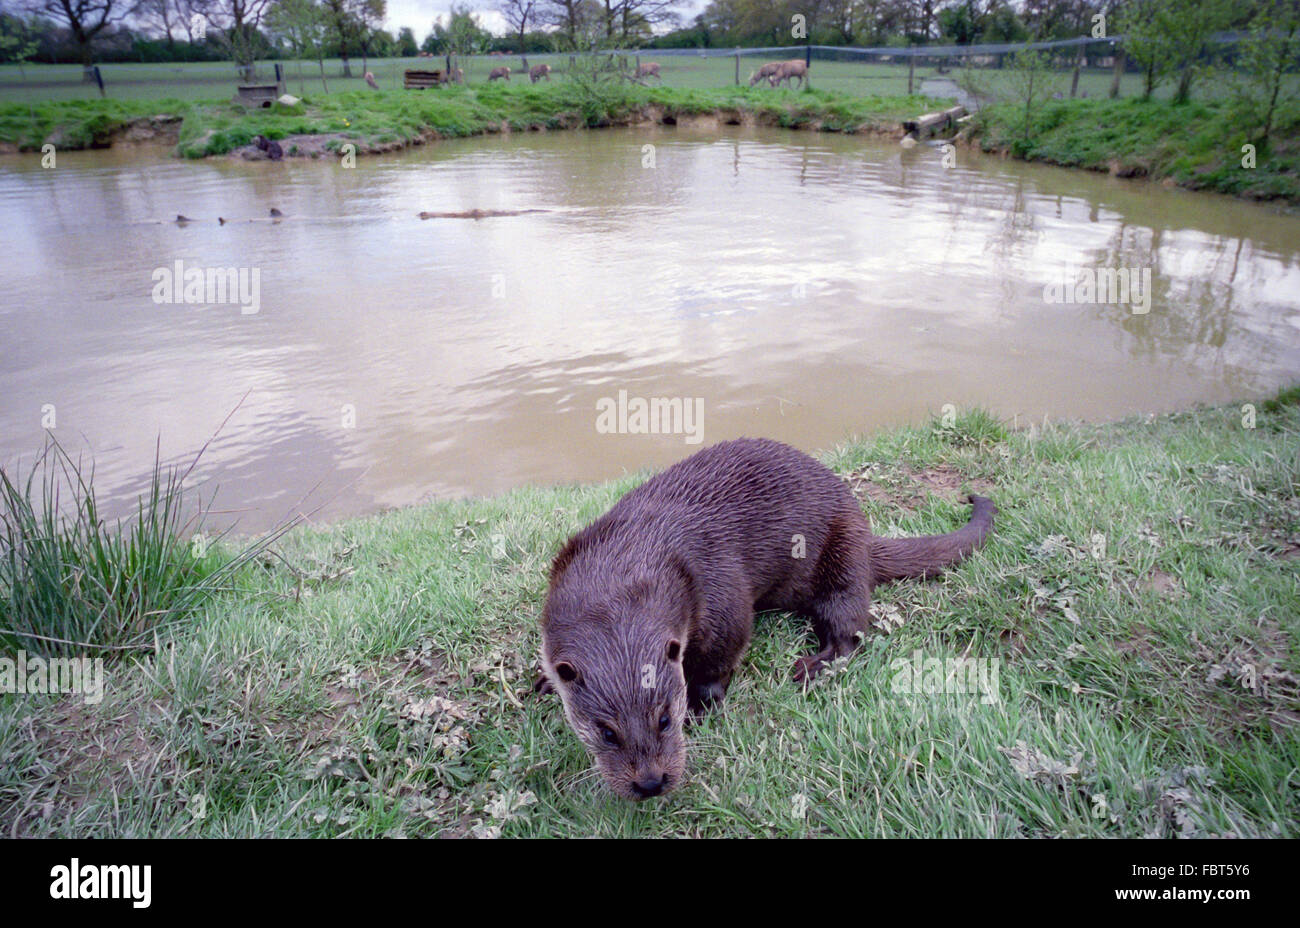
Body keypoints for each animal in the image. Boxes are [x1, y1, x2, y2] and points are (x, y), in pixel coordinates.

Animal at [535, 438, 996, 800]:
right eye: (607, 732)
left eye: (665, 718)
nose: (650, 782)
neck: (630, 552)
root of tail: (865, 530)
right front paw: (545, 679)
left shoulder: (721, 592)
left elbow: (723, 655)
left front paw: (700, 706)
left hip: (842, 558)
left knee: (849, 630)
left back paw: (812, 667)